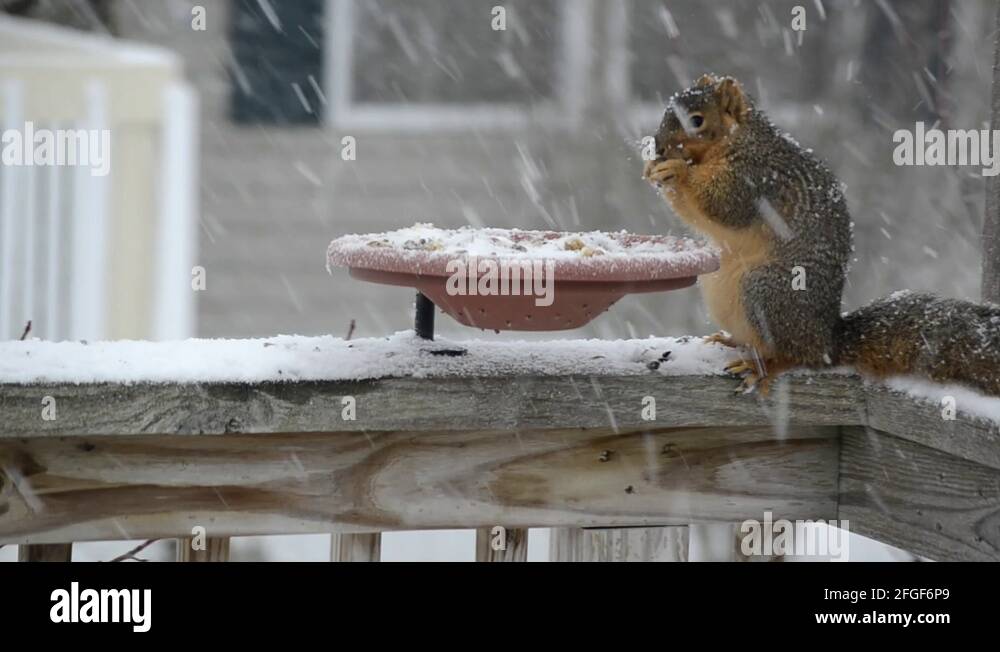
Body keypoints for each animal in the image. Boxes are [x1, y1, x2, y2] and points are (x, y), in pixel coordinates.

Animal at [644, 73, 1000, 397]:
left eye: (697, 120)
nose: (659, 146)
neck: (737, 141)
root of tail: (827, 341)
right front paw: (654, 168)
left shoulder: (755, 181)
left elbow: (721, 205)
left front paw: (675, 171)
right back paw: (730, 340)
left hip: (767, 291)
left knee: (795, 356)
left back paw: (765, 366)